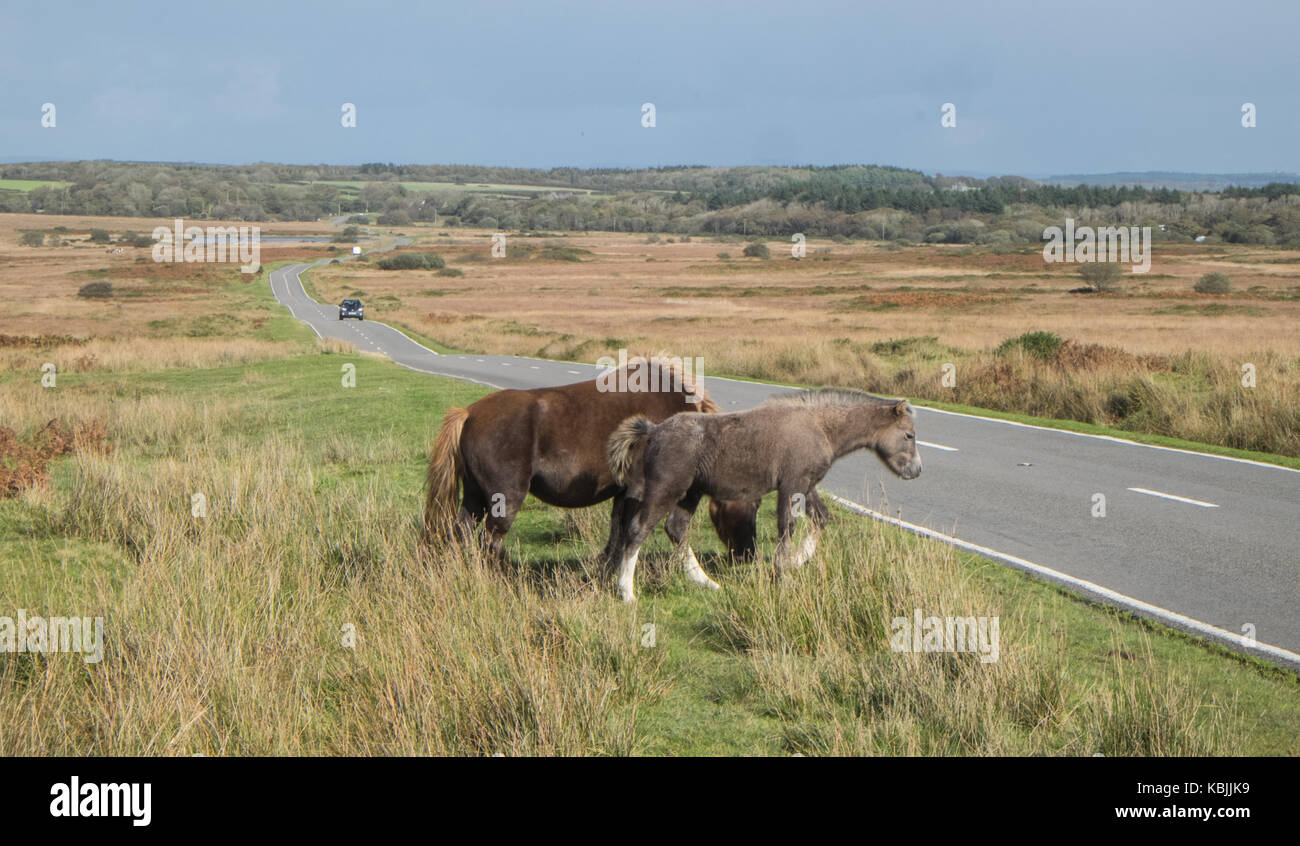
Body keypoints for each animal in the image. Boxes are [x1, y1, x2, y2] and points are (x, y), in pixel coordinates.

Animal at [421, 356, 759, 577]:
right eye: (754, 505)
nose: (749, 555)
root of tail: (468, 414)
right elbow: (629, 530)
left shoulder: (624, 491)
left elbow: (618, 529)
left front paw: (606, 568)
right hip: (503, 501)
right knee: (490, 541)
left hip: (474, 498)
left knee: (461, 532)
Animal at [605, 388, 922, 601]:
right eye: (909, 435)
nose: (916, 470)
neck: (819, 425)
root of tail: (653, 430)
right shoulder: (792, 484)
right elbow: (787, 526)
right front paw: (784, 574)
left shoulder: (807, 485)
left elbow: (821, 518)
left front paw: (795, 561)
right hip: (667, 489)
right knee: (638, 529)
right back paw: (627, 592)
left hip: (690, 493)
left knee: (676, 528)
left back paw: (705, 582)